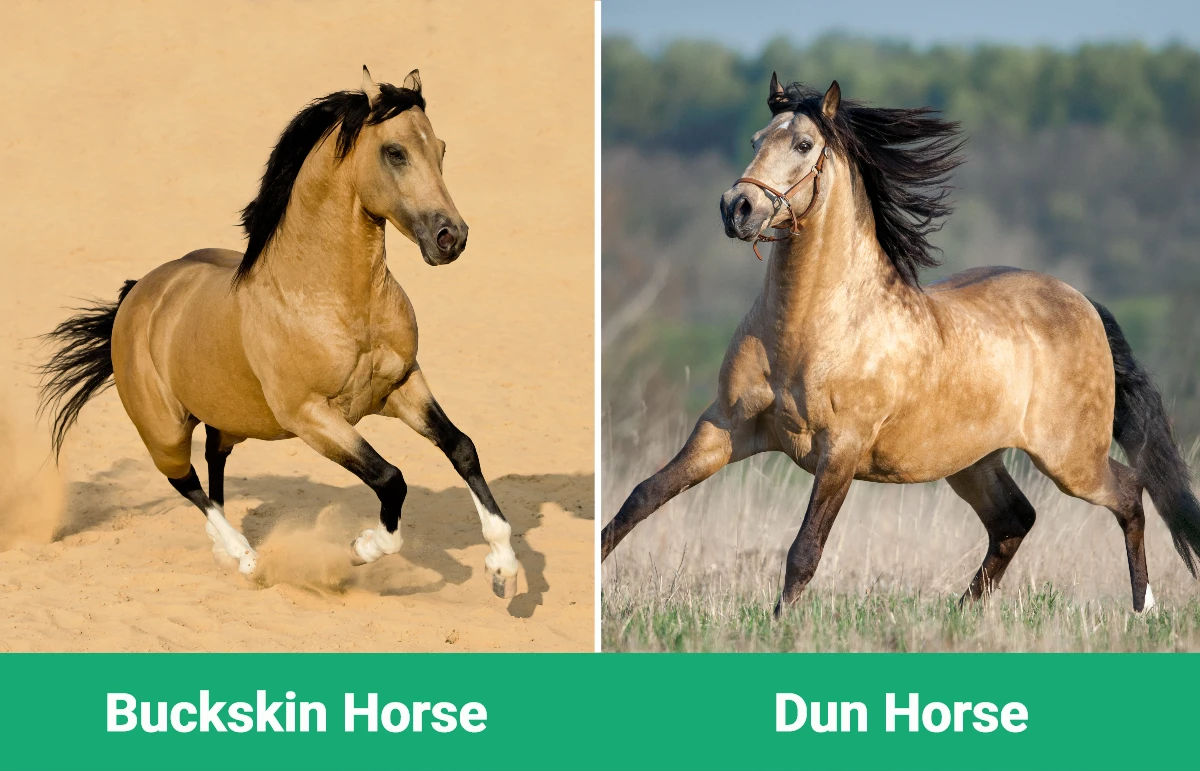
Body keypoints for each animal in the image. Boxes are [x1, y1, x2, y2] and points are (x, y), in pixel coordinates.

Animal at [38, 67, 520, 598]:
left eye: (441, 148)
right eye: (395, 152)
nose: (451, 237)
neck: (336, 300)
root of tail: (137, 295)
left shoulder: (401, 385)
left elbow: (462, 448)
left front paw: (503, 568)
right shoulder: (311, 416)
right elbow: (391, 478)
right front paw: (361, 548)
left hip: (227, 418)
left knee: (214, 463)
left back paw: (224, 547)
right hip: (164, 432)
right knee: (186, 481)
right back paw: (245, 558)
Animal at [601, 74, 1200, 615]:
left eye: (803, 145)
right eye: (754, 140)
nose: (737, 207)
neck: (807, 329)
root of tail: (1082, 302)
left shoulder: (840, 451)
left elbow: (804, 551)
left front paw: (780, 626)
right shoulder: (724, 427)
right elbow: (640, 498)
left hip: (1070, 458)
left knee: (1128, 493)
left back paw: (1142, 608)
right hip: (972, 460)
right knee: (1014, 519)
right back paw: (960, 614)